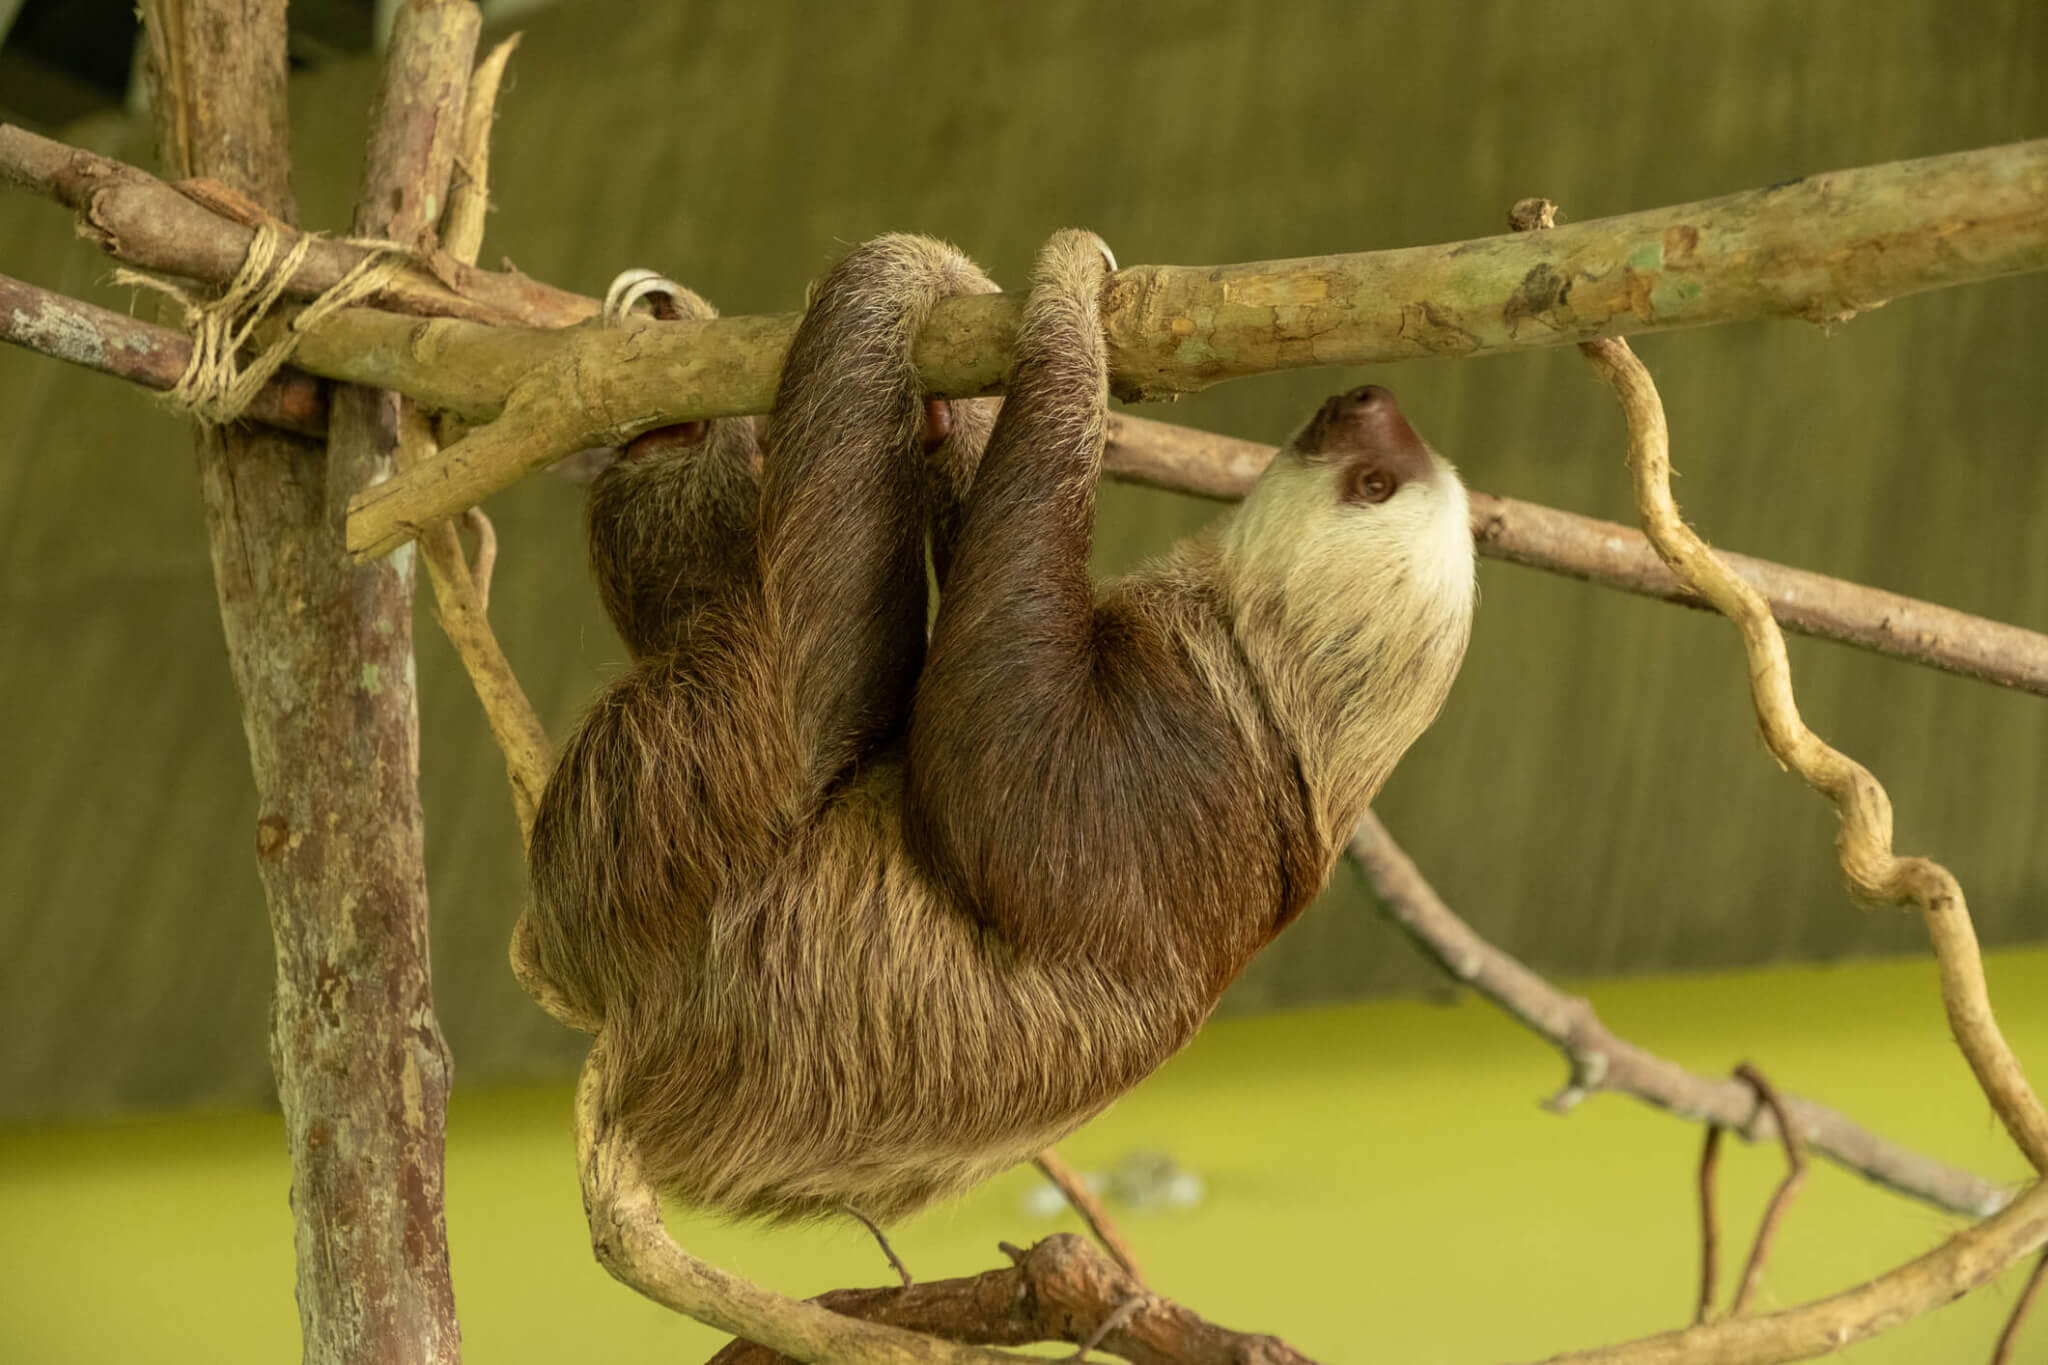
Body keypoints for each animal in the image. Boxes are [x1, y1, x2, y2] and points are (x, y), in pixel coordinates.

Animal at [522, 230, 1476, 1229]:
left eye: (1375, 483)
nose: (1374, 402)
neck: (1270, 693)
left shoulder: (1173, 765)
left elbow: (994, 740)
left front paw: (1060, 299)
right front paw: (961, 405)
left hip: (661, 802)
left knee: (806, 649)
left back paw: (852, 306)